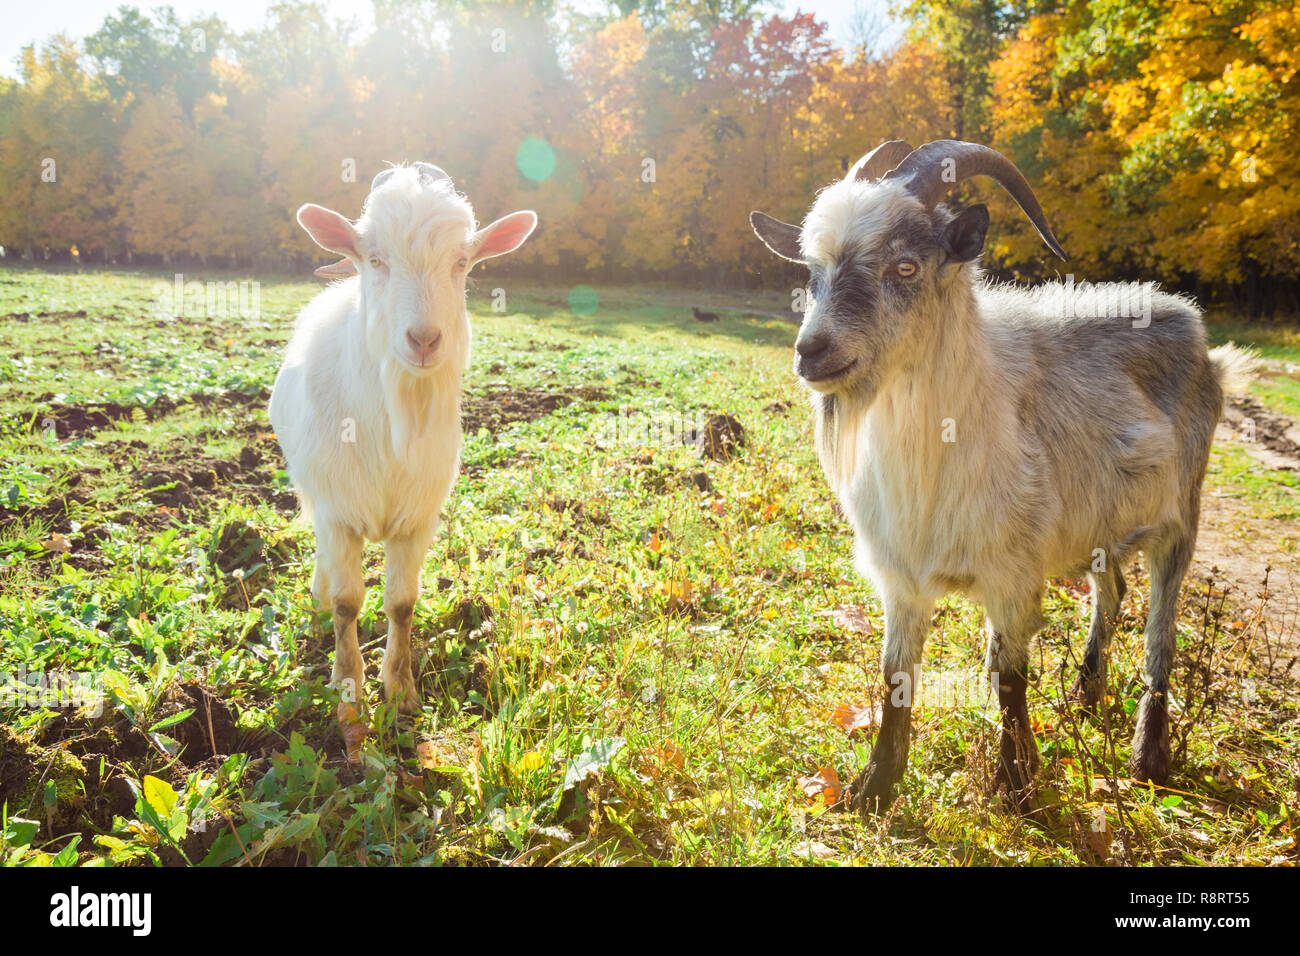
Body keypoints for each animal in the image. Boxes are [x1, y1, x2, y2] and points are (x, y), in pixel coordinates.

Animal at [270, 163, 536, 713]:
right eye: (375, 259)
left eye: (462, 262)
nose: (425, 339)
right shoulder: (338, 512)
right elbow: (348, 604)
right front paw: (348, 689)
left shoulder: (418, 519)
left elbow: (402, 604)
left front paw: (400, 689)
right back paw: (316, 602)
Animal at [750, 139, 1255, 814]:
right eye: (812, 271)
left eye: (905, 267)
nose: (812, 351)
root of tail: (1202, 339)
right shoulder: (902, 580)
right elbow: (896, 676)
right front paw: (873, 790)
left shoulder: (1013, 576)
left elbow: (1012, 678)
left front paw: (1017, 788)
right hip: (1099, 526)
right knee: (1112, 593)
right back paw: (1085, 696)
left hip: (1181, 518)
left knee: (1161, 631)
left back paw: (1149, 757)